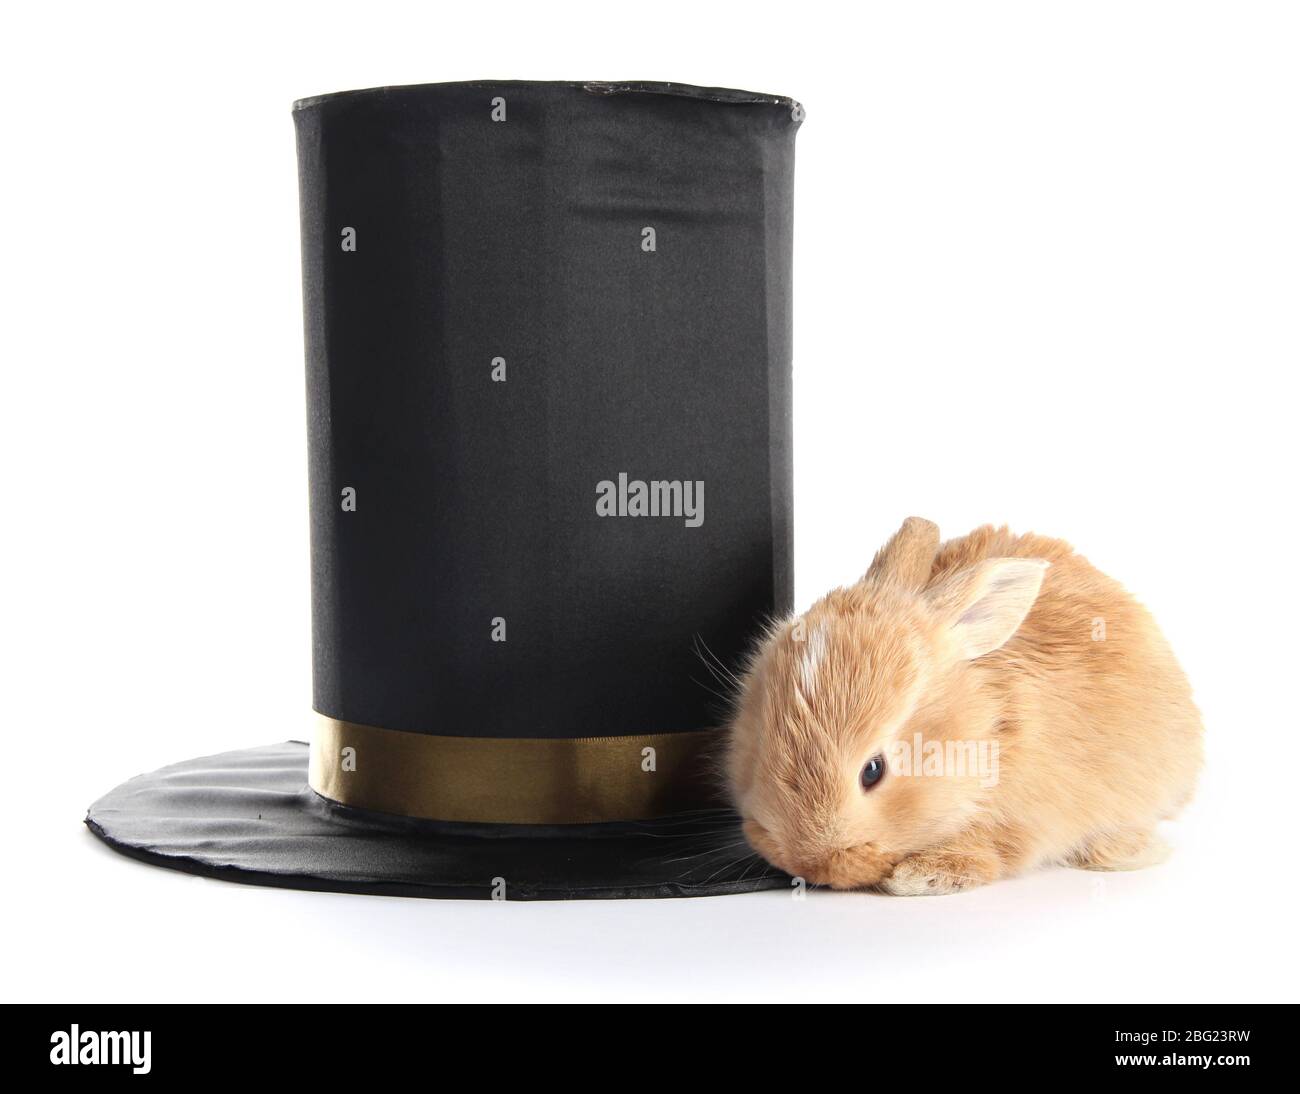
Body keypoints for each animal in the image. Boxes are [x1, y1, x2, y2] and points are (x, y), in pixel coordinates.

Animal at [724, 517, 1203, 894]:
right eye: (761, 747)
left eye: (873, 771)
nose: (808, 863)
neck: (983, 728)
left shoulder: (1019, 822)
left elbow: (988, 850)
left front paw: (920, 878)